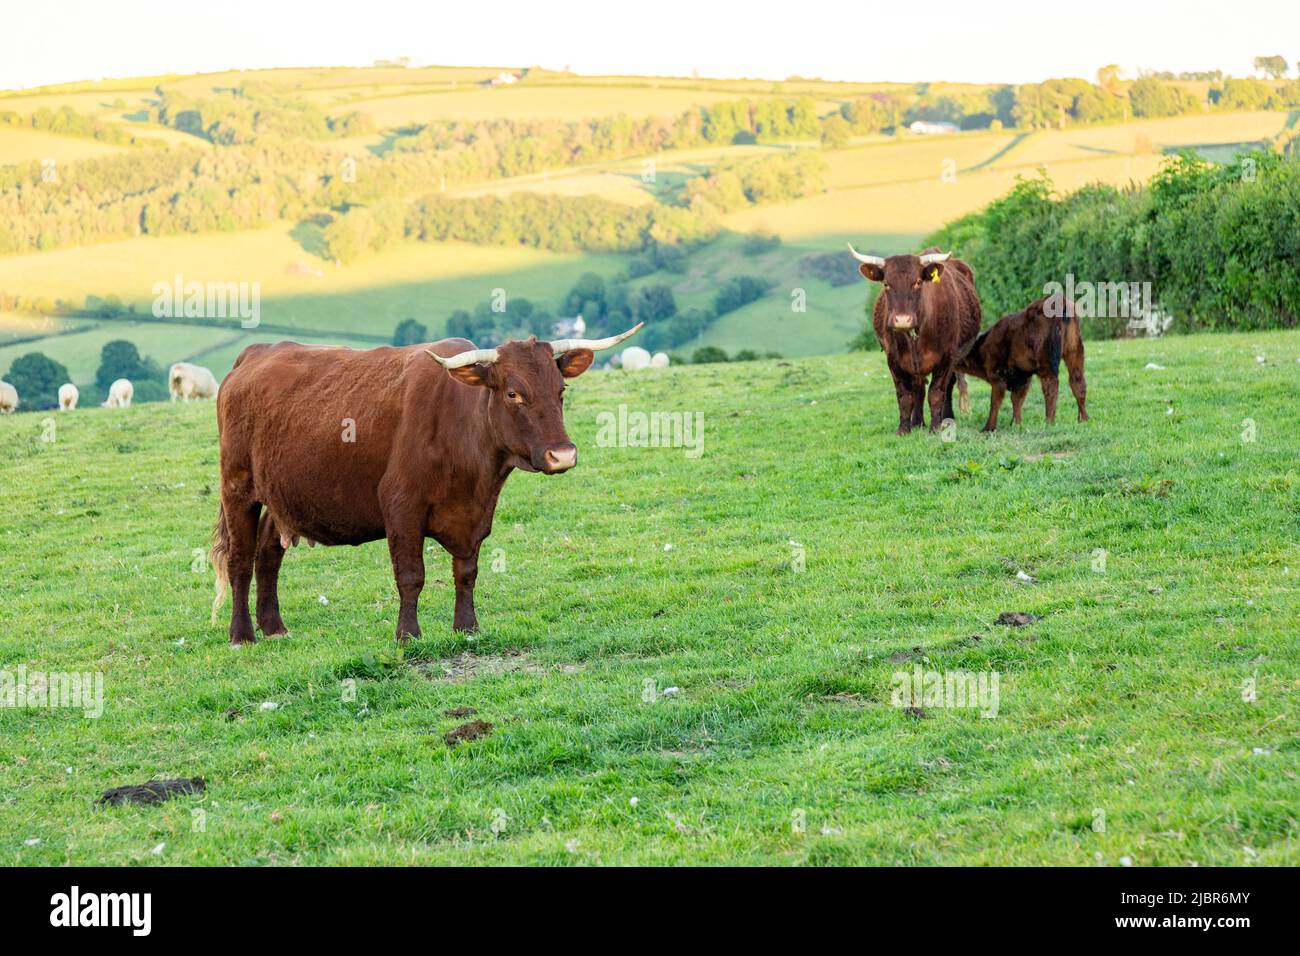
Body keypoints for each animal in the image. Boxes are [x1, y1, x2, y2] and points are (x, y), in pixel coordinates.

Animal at [209, 324, 642, 645]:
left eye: (561, 390)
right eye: (513, 393)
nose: (563, 454)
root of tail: (256, 353)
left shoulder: (476, 515)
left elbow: (466, 571)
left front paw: (467, 627)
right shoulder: (401, 506)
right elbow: (411, 575)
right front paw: (407, 635)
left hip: (281, 496)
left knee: (268, 553)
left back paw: (274, 626)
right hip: (238, 486)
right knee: (240, 559)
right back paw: (242, 634)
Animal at [849, 244, 982, 434]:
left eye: (918, 282)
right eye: (886, 284)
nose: (902, 320)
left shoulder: (947, 357)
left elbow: (936, 393)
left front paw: (935, 428)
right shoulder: (894, 359)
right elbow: (905, 395)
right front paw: (904, 429)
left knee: (947, 387)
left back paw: (947, 419)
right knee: (918, 388)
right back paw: (917, 422)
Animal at [955, 294, 1088, 431]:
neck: (982, 348)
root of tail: (1061, 301)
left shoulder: (998, 375)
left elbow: (996, 401)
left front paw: (989, 428)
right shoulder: (1023, 376)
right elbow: (1017, 399)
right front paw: (1016, 423)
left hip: (1047, 363)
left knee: (1051, 387)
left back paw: (1049, 422)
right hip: (1075, 353)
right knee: (1078, 383)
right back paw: (1084, 419)